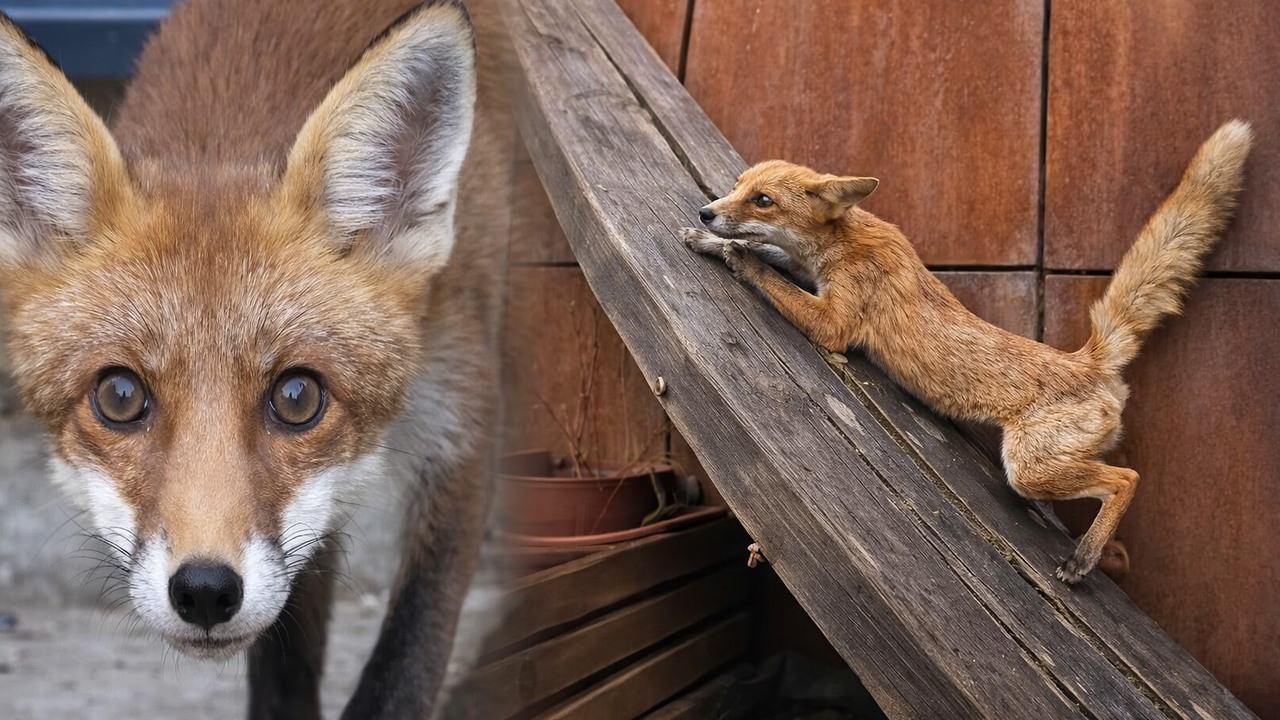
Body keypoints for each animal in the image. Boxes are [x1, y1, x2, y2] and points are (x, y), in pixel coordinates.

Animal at [0, 0, 511, 717]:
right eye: (120, 397)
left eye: (298, 398)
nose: (205, 591)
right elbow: (283, 665)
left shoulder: (464, 413)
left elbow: (408, 657)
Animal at [682, 120, 1252, 583]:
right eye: (737, 186)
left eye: (763, 200)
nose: (706, 211)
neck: (845, 244)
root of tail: (1088, 361)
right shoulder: (813, 278)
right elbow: (774, 256)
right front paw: (717, 241)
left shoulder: (835, 324)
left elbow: (764, 269)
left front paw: (727, 251)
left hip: (1029, 469)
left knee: (1126, 479)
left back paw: (1084, 557)